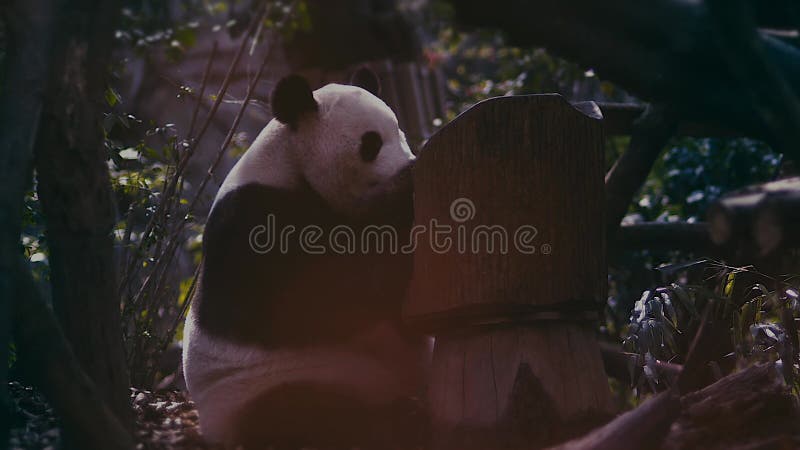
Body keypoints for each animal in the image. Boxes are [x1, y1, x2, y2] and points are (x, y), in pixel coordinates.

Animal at [182, 69, 430, 449]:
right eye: (371, 144)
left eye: (399, 132)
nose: (407, 164)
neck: (289, 162)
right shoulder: (254, 223)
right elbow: (318, 300)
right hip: (265, 386)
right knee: (308, 410)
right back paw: (396, 418)